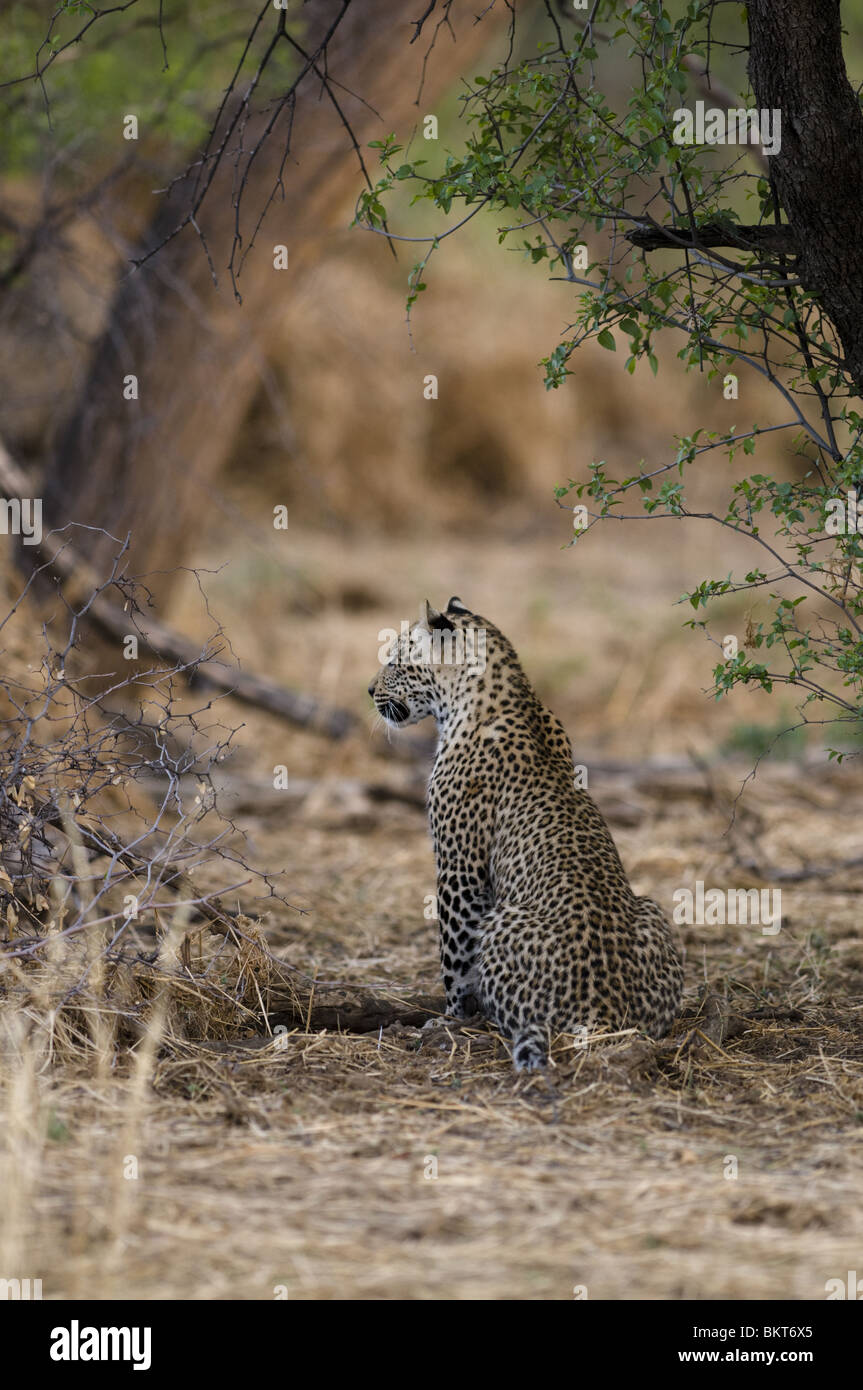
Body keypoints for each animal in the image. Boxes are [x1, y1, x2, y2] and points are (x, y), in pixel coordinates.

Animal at [367, 597, 684, 1072]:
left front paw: (452, 1018)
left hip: (502, 920)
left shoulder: (459, 869)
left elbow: (454, 957)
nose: (369, 691)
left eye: (397, 661)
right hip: (651, 909)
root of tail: (605, 1010)